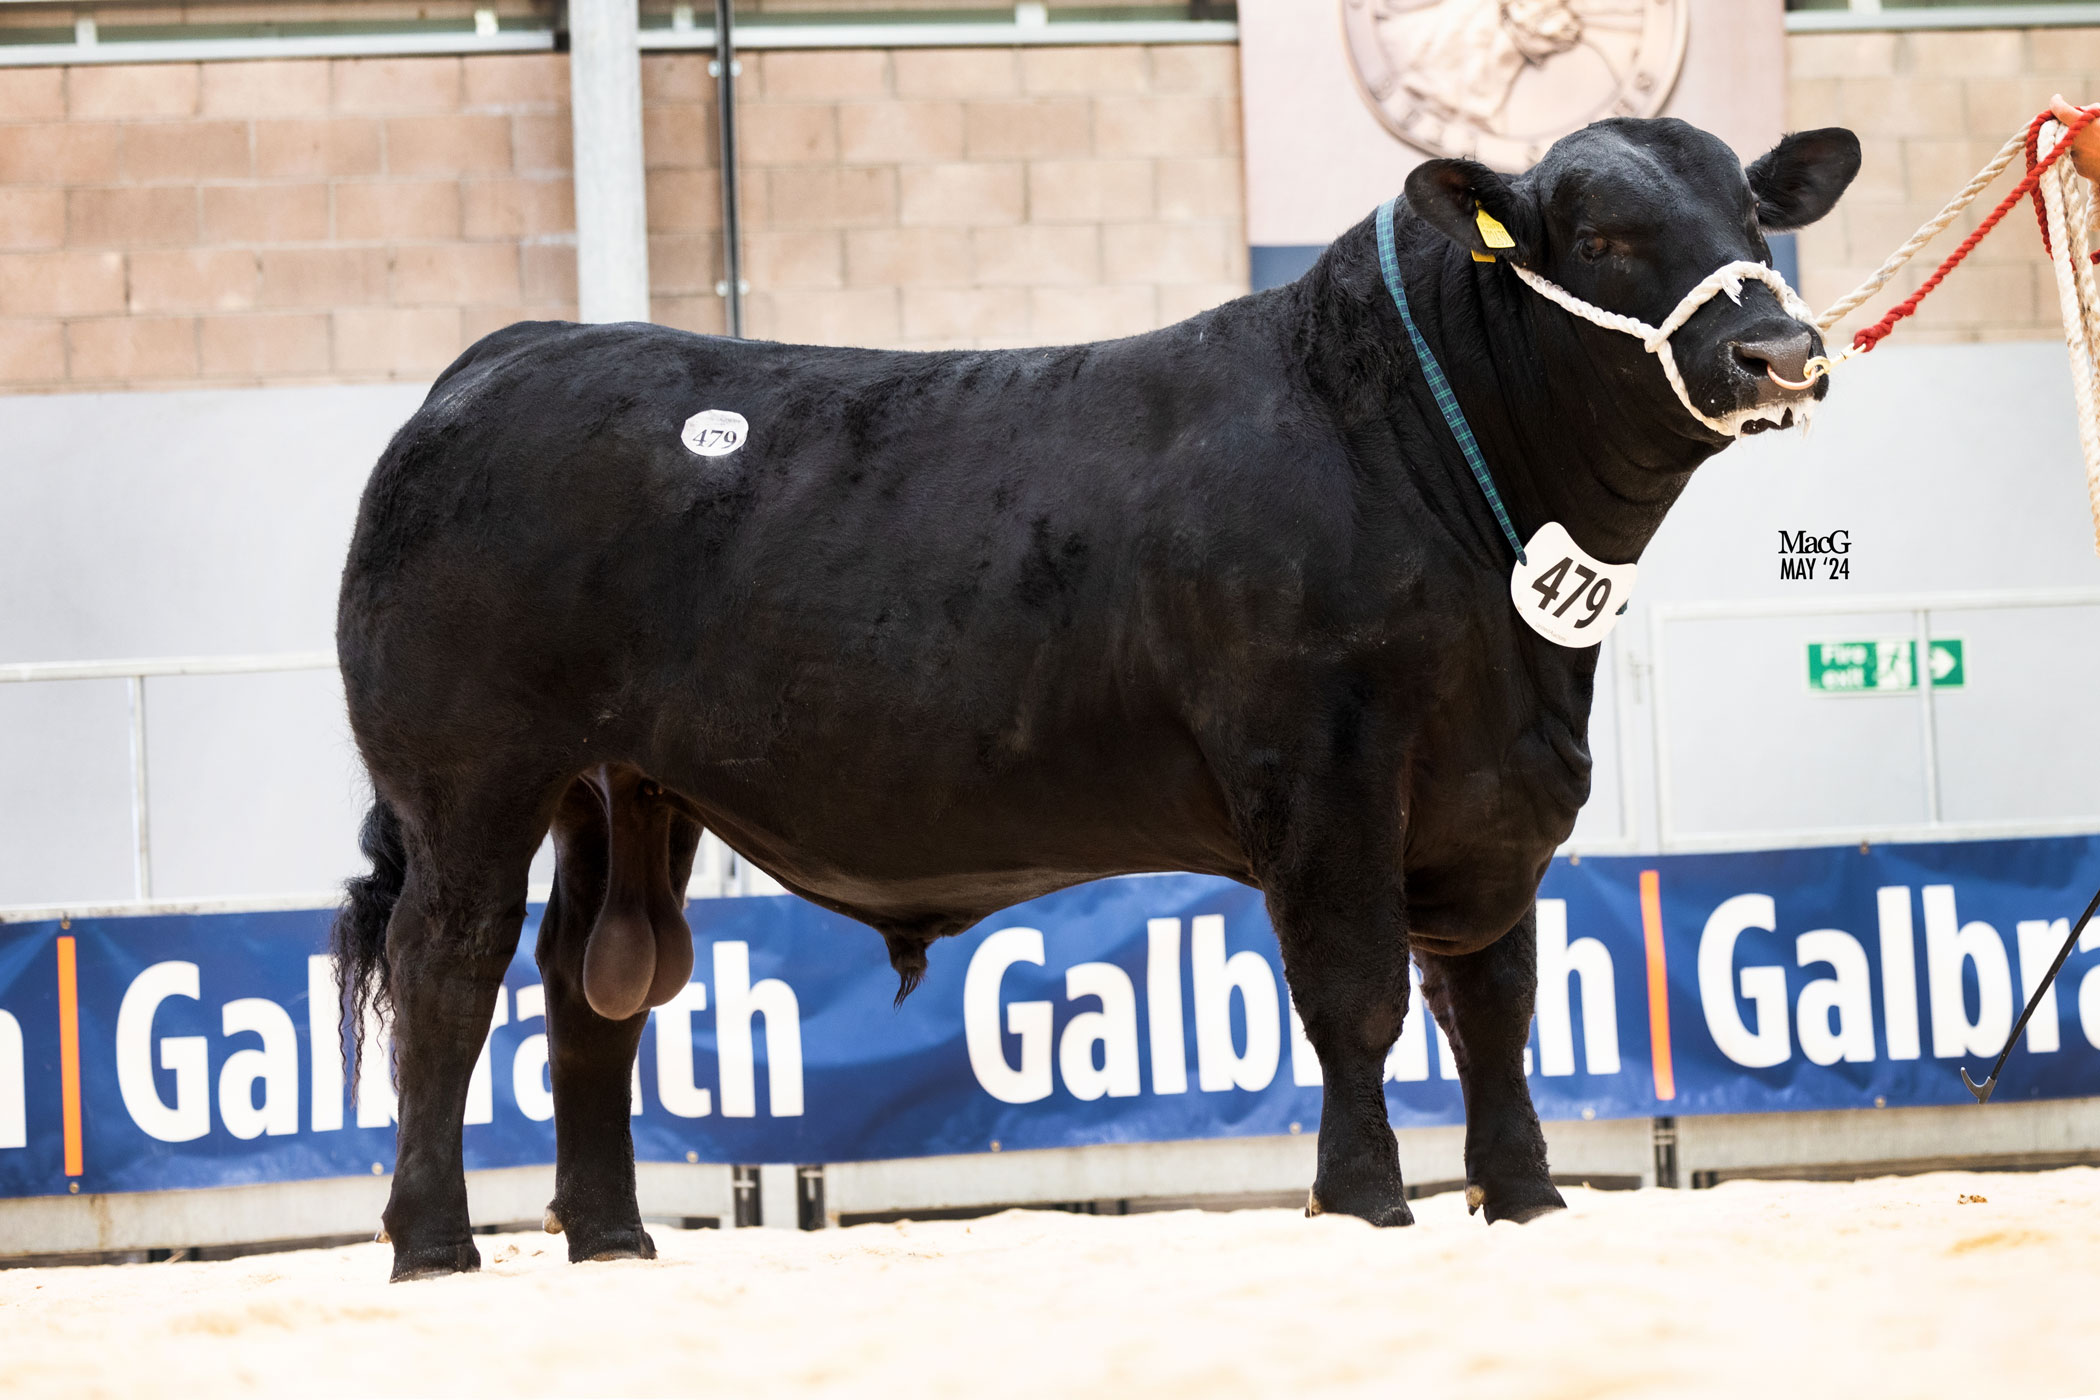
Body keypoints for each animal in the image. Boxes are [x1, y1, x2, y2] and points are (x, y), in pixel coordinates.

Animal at [332, 116, 1860, 1280]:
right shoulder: (1325, 769)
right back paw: (434, 1244)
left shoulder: (1491, 801)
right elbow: (1358, 993)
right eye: (1601, 237)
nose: (1779, 351)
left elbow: (1494, 1001)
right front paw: (1366, 1196)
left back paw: (610, 1240)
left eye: (1748, 211)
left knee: (599, 984)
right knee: (450, 971)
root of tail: (509, 354)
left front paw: (1527, 1197)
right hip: (470, 776)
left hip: (626, 785)